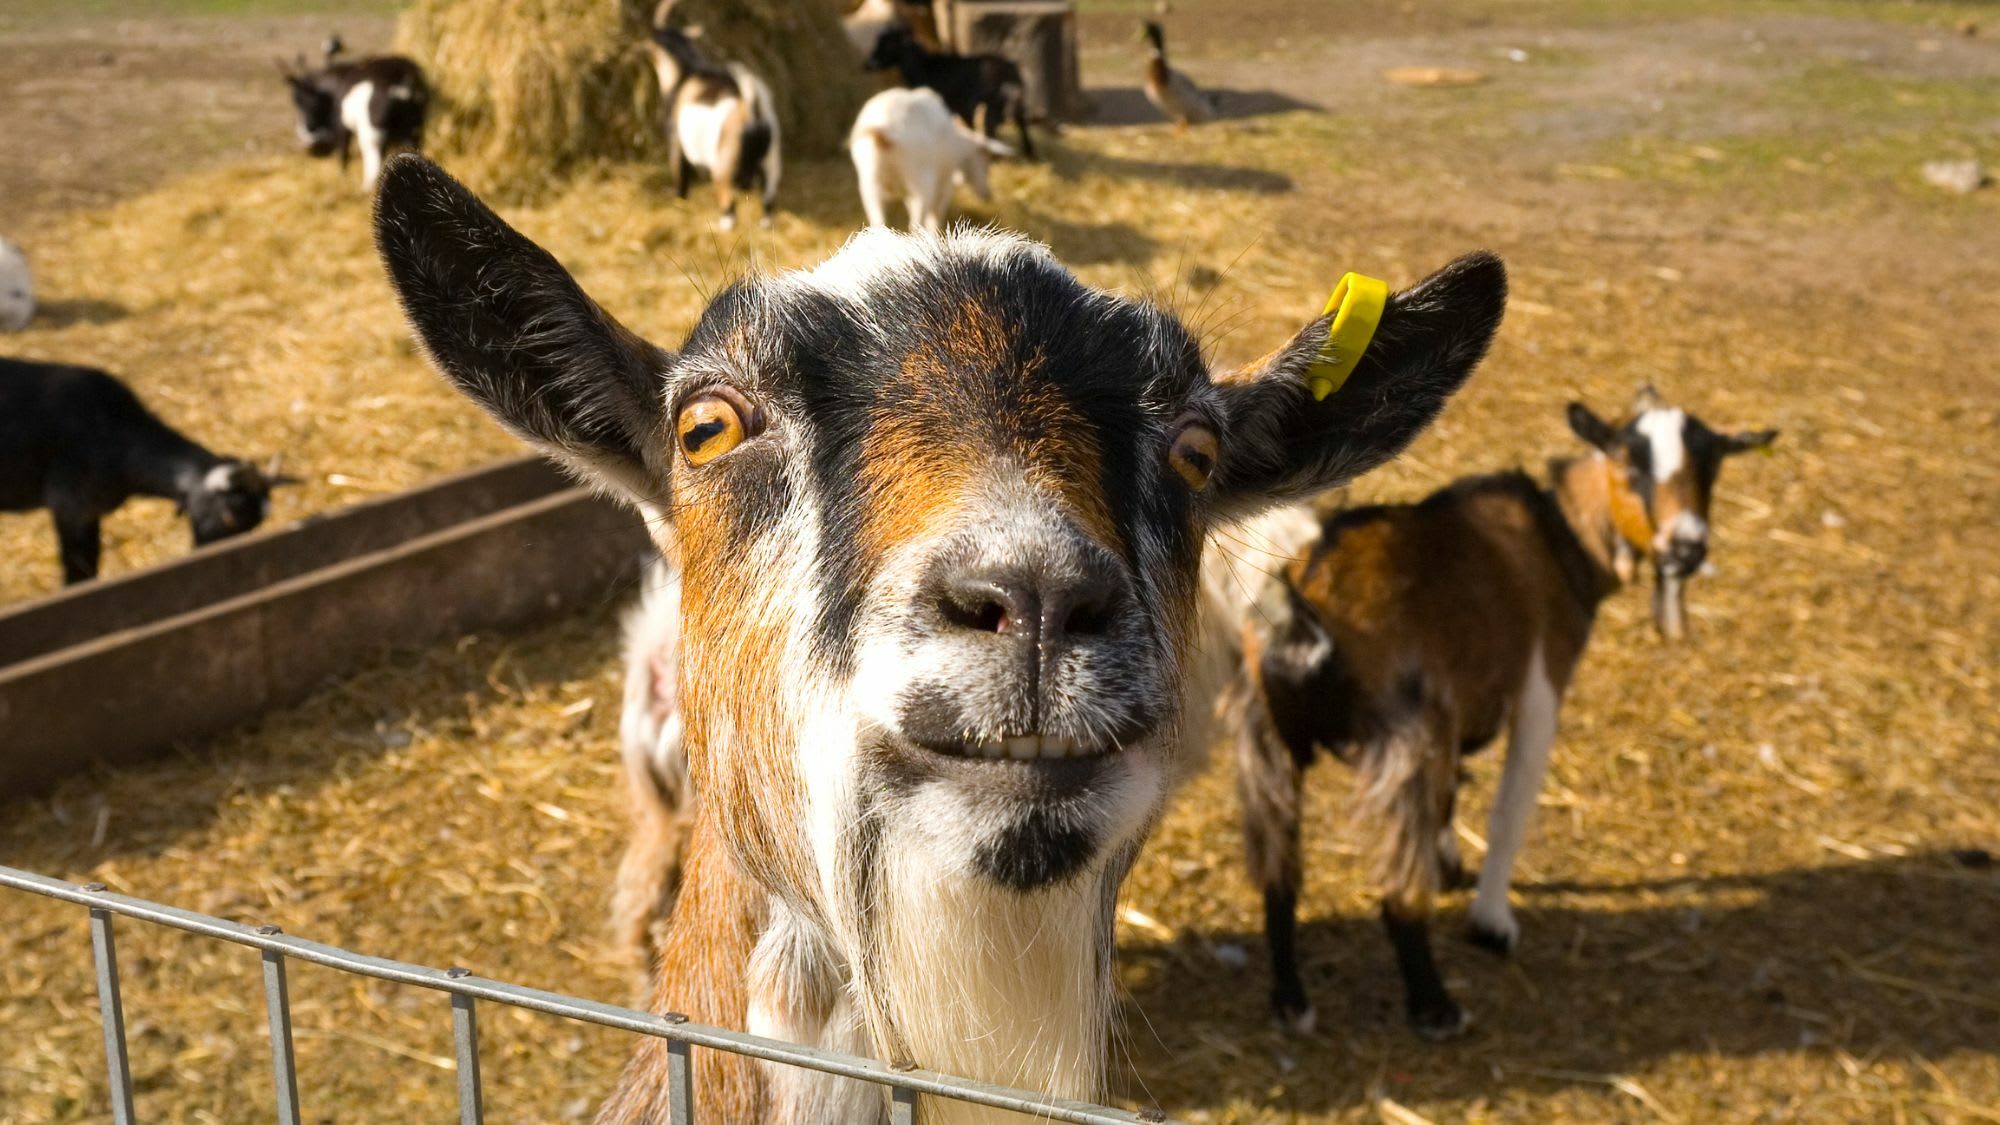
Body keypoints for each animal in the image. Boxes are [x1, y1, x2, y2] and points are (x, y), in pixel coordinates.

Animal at [281, 39, 428, 192]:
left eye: (300, 100)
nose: (313, 148)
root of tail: (403, 82)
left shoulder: (340, 125)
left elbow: (343, 154)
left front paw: (343, 179)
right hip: (414, 125)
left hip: (371, 131)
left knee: (373, 160)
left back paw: (367, 188)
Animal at [645, 0, 782, 232]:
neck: (686, 71)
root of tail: (752, 111)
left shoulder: (676, 144)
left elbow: (681, 179)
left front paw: (679, 203)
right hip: (771, 165)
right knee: (767, 205)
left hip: (723, 169)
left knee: (730, 208)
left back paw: (720, 227)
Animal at [849, 88, 1012, 234]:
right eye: (986, 163)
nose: (988, 195)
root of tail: (884, 134)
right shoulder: (944, 185)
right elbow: (934, 219)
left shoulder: (908, 195)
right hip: (921, 184)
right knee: (915, 226)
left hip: (869, 185)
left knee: (879, 224)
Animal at [864, 26, 1035, 160]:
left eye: (889, 44)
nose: (868, 64)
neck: (924, 67)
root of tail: (1010, 72)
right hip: (1017, 101)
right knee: (1021, 123)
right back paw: (1029, 153)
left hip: (990, 106)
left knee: (991, 129)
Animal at [1231, 389, 1776, 1039]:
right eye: (1629, 461)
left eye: (1712, 463)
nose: (1687, 547)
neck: (1557, 535)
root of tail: (1301, 609)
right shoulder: (1539, 684)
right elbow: (1509, 810)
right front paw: (1491, 921)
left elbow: (1450, 798)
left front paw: (1450, 867)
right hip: (1401, 738)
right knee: (1395, 889)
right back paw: (1435, 1005)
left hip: (1267, 739)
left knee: (1278, 871)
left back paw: (1291, 998)